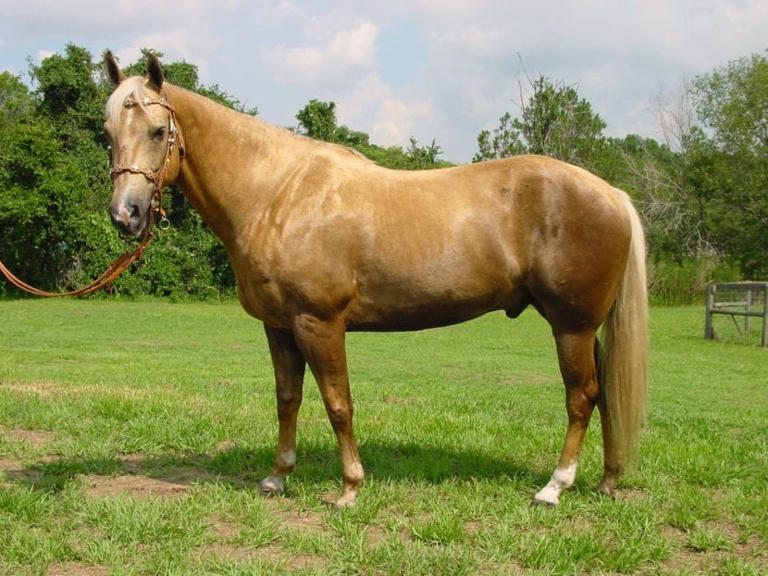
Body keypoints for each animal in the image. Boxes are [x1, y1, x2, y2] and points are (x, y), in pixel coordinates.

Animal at [103, 52, 647, 508]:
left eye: (158, 131)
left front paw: (349, 488)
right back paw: (606, 480)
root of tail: (612, 194)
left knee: (581, 397)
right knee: (602, 396)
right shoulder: (279, 327)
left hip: (571, 326)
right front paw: (278, 477)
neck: (277, 194)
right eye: (107, 133)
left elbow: (338, 404)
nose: (126, 215)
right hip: (585, 329)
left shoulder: (319, 324)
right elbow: (287, 400)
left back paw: (554, 488)